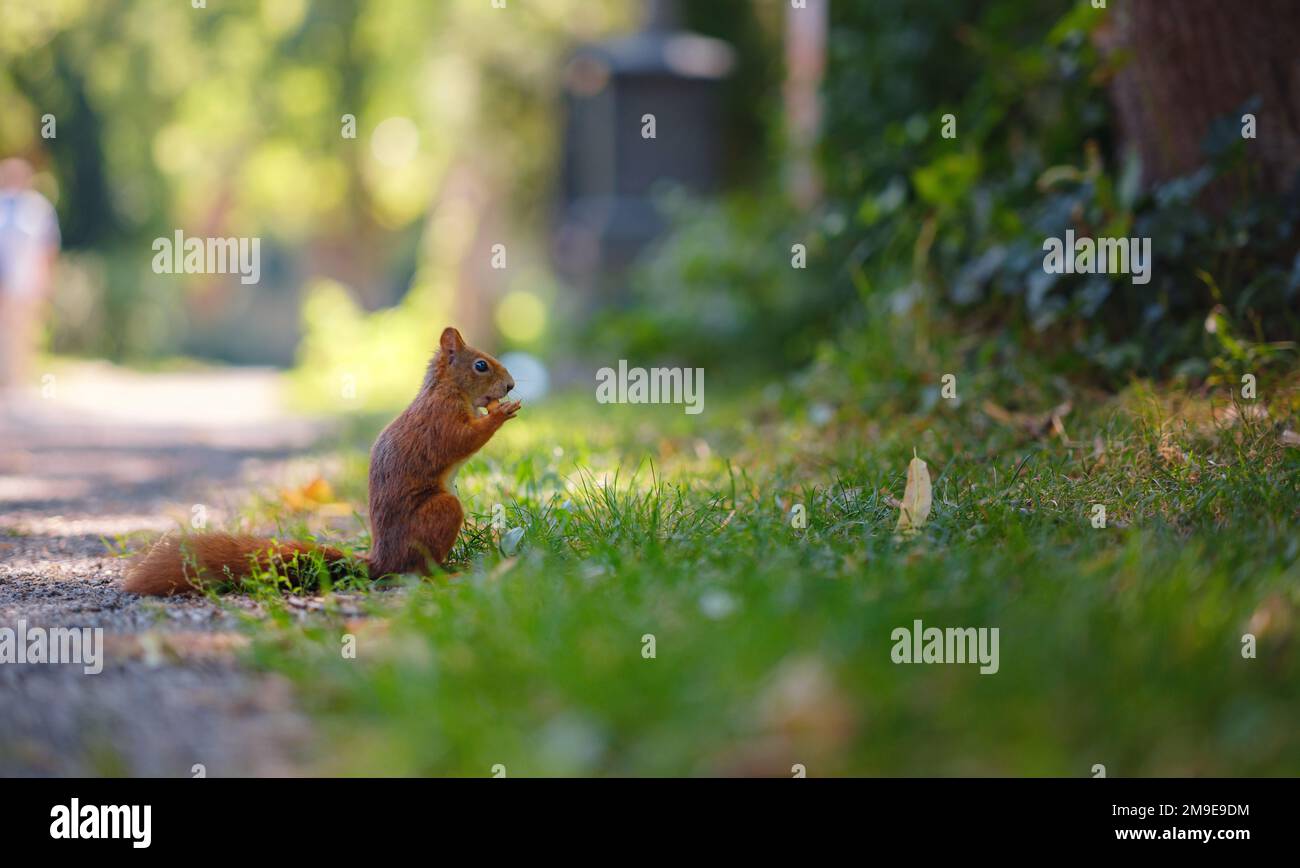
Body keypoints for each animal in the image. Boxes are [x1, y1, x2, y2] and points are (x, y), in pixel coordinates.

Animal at [122, 327, 519, 595]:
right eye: (481, 365)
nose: (512, 386)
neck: (447, 389)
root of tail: (381, 561)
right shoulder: (440, 419)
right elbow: (461, 441)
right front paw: (501, 415)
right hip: (441, 511)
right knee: (415, 570)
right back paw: (448, 572)